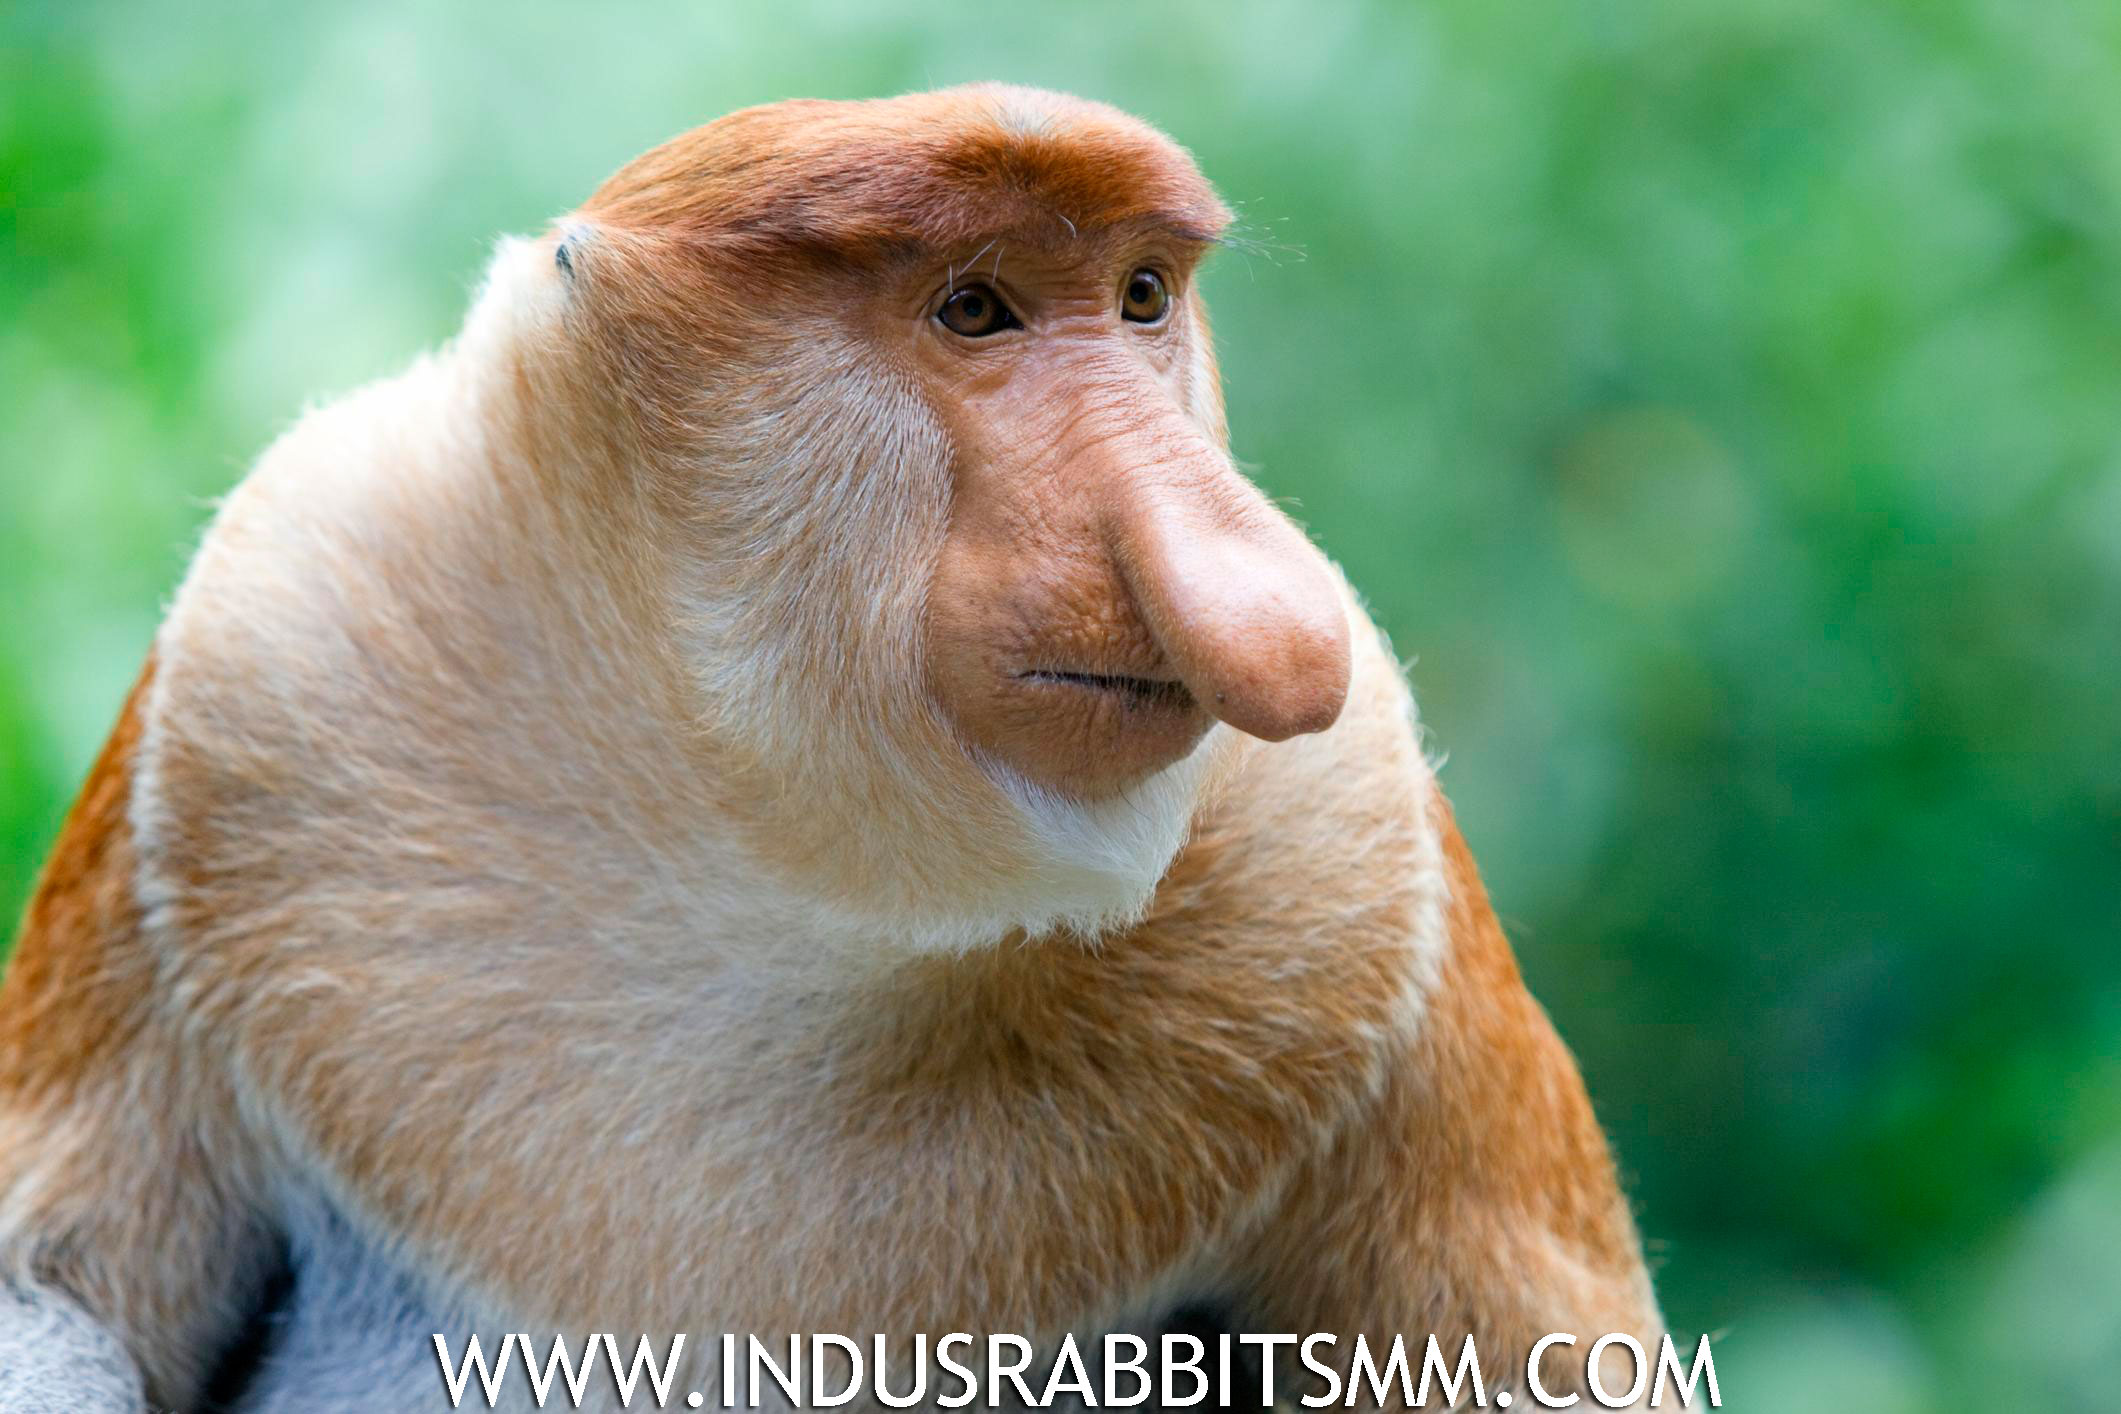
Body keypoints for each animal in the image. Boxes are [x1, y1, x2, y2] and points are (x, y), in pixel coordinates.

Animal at [0, 86, 1666, 1412]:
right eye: (974, 308)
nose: (1267, 599)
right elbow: (53, 1292)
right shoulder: (263, 660)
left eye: (1141, 296)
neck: (773, 865)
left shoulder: (1356, 852)